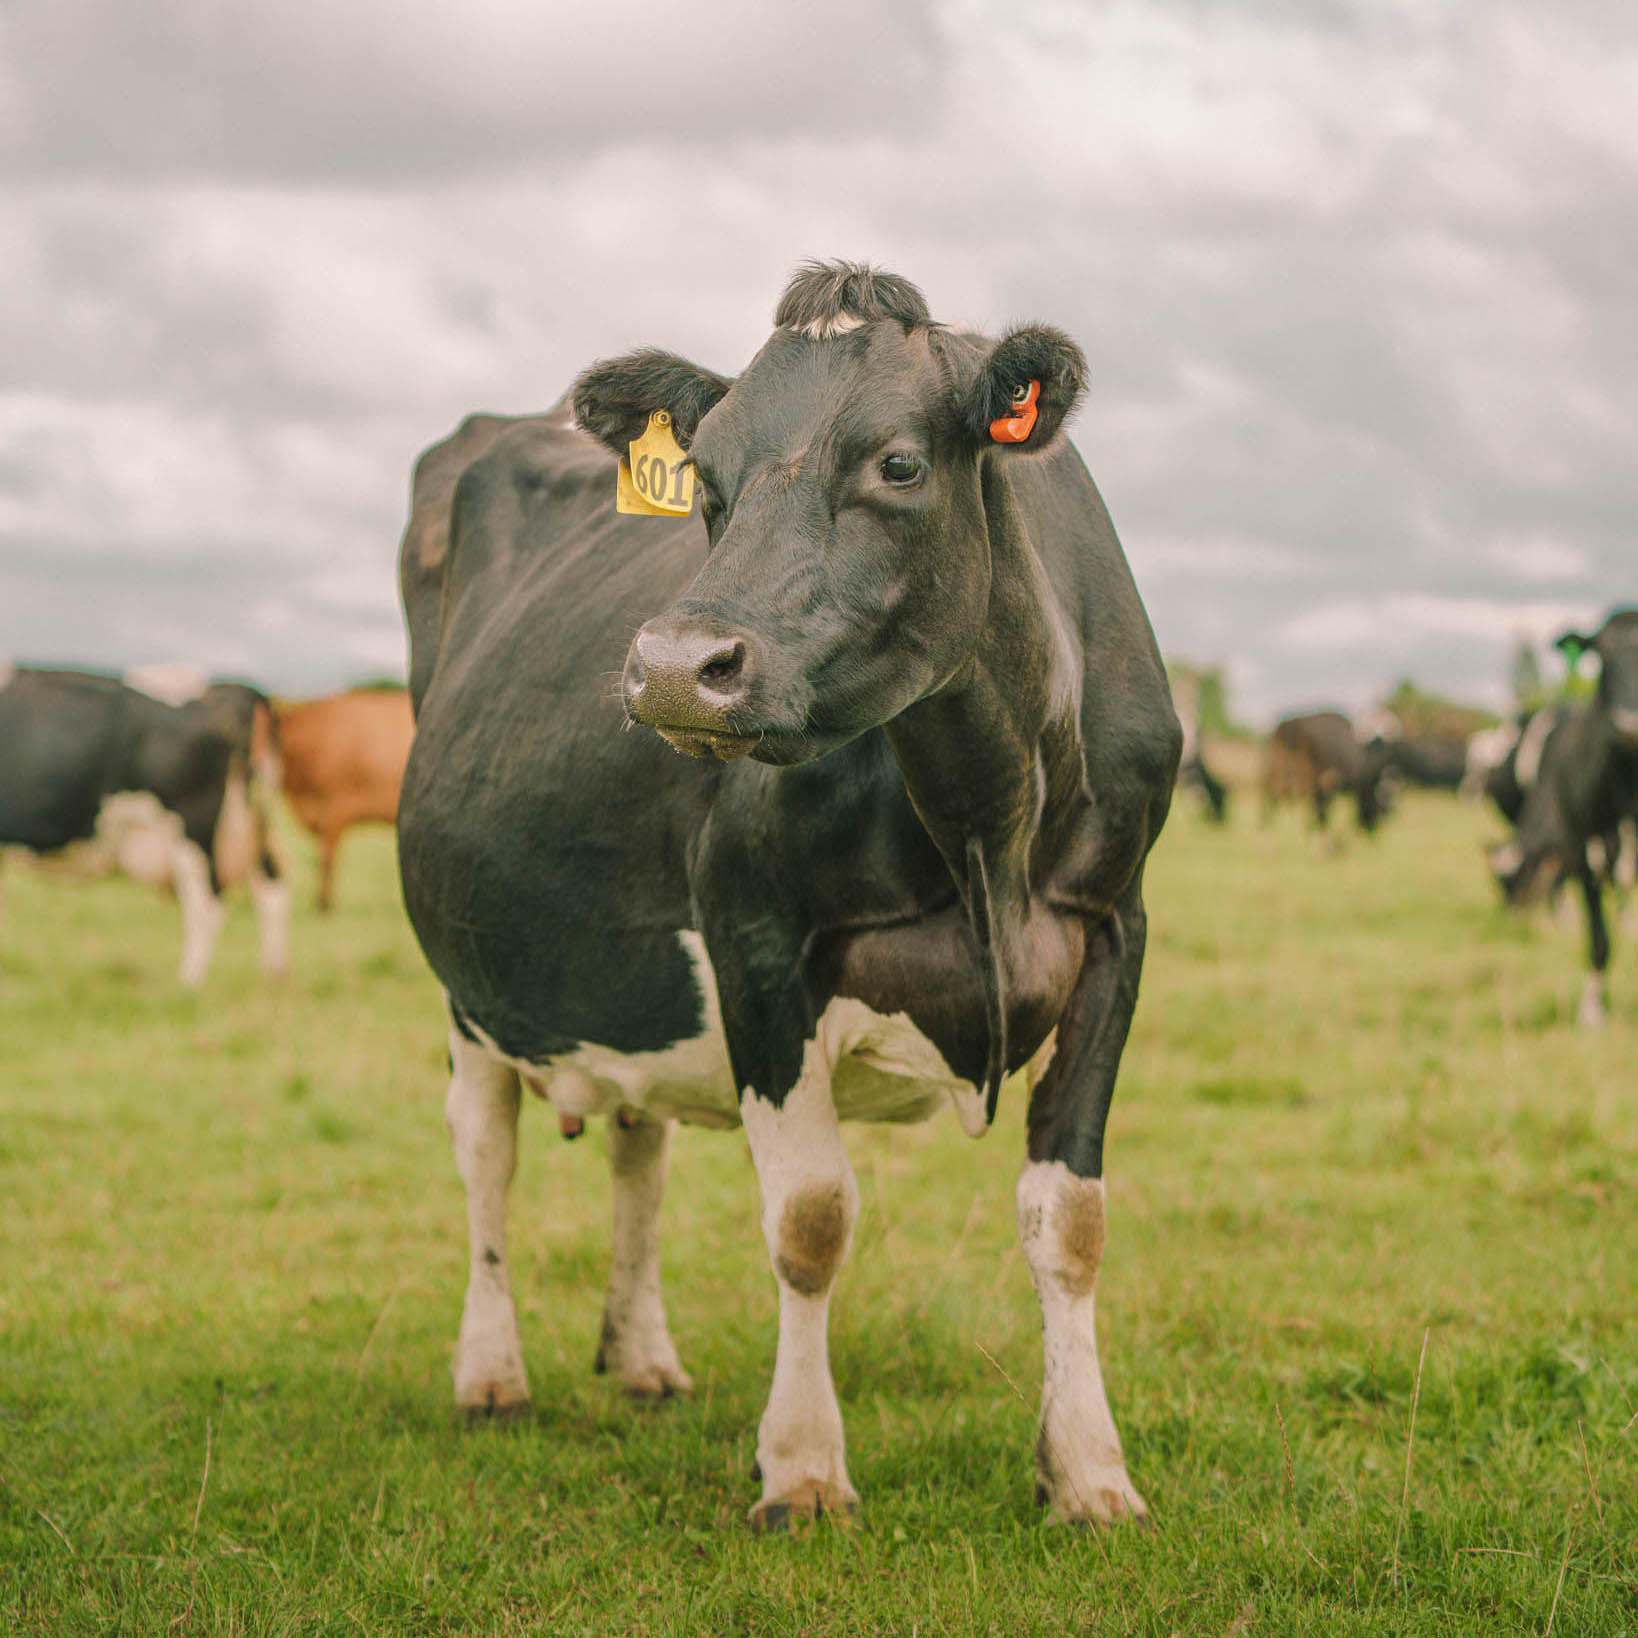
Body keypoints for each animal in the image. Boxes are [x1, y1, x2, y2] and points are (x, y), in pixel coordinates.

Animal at [0, 664, 288, 985]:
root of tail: (231, 689)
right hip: (249, 822)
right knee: (270, 885)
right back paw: (272, 974)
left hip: (194, 825)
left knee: (206, 905)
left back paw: (187, 983)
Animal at [396, 262, 1181, 1531]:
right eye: (705, 482)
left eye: (899, 464)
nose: (675, 667)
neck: (990, 819)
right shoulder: (757, 940)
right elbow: (810, 1221)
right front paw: (805, 1469)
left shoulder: (1114, 935)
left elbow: (1071, 1223)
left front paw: (1091, 1473)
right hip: (471, 984)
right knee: (485, 1152)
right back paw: (490, 1373)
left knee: (638, 1141)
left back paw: (642, 1358)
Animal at [1488, 610, 1638, 1026]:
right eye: (1602, 654)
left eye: (1514, 881)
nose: (1628, 725)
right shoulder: (1581, 850)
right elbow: (1598, 937)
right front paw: (1592, 1011)